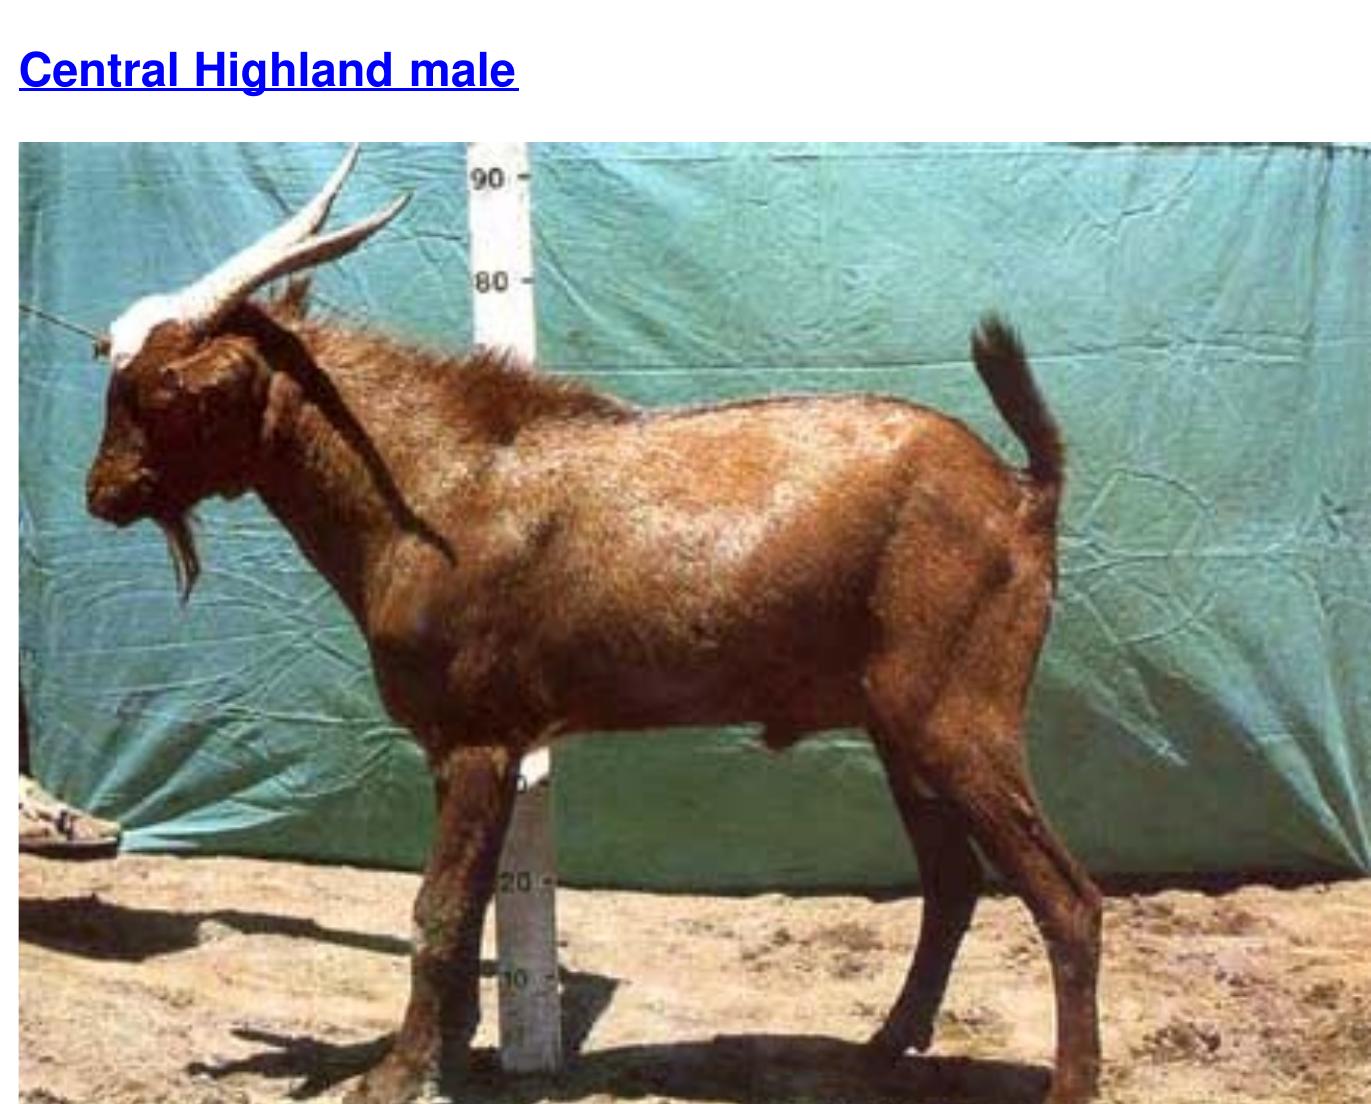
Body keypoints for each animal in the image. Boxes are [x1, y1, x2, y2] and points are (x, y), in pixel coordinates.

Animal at [84, 146, 1101, 1104]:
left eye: (163, 394)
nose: (103, 494)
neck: (436, 487)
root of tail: (1022, 491)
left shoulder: (476, 735)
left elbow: (437, 912)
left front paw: (396, 1072)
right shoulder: (473, 746)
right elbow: (471, 910)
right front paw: (455, 1053)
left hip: (958, 714)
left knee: (1067, 899)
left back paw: (1065, 1080)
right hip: (899, 727)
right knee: (953, 881)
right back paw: (881, 1048)